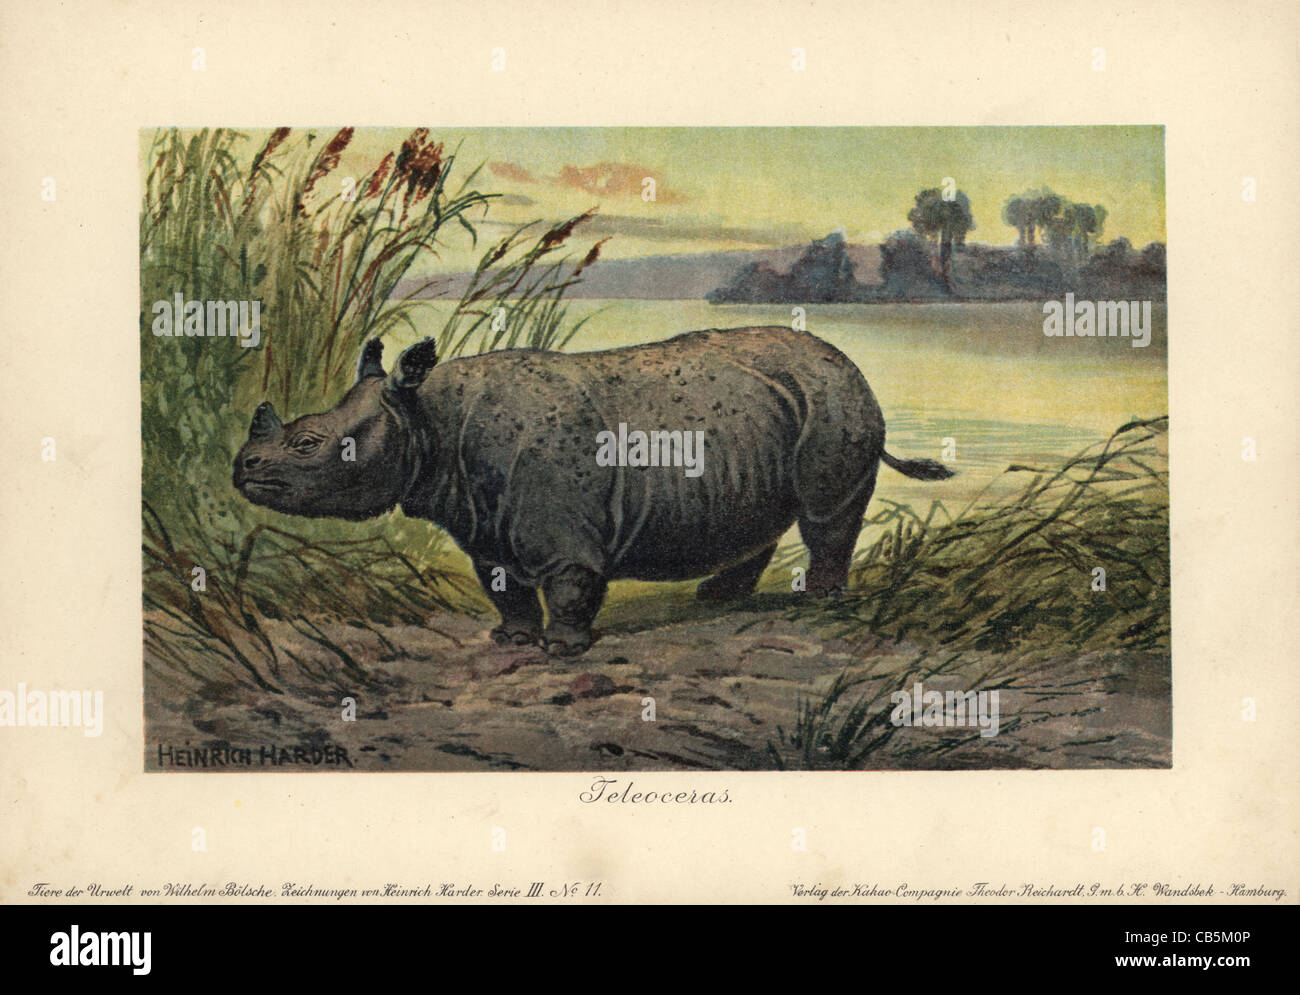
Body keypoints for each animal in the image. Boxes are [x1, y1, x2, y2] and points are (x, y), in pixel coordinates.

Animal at [233, 326, 952, 656]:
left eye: (309, 445)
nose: (241, 469)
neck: (429, 418)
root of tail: (854, 367)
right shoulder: (481, 521)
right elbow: (503, 583)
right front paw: (511, 640)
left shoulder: (564, 535)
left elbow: (569, 583)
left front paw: (561, 649)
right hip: (779, 413)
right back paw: (715, 598)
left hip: (836, 401)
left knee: (826, 516)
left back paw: (820, 603)